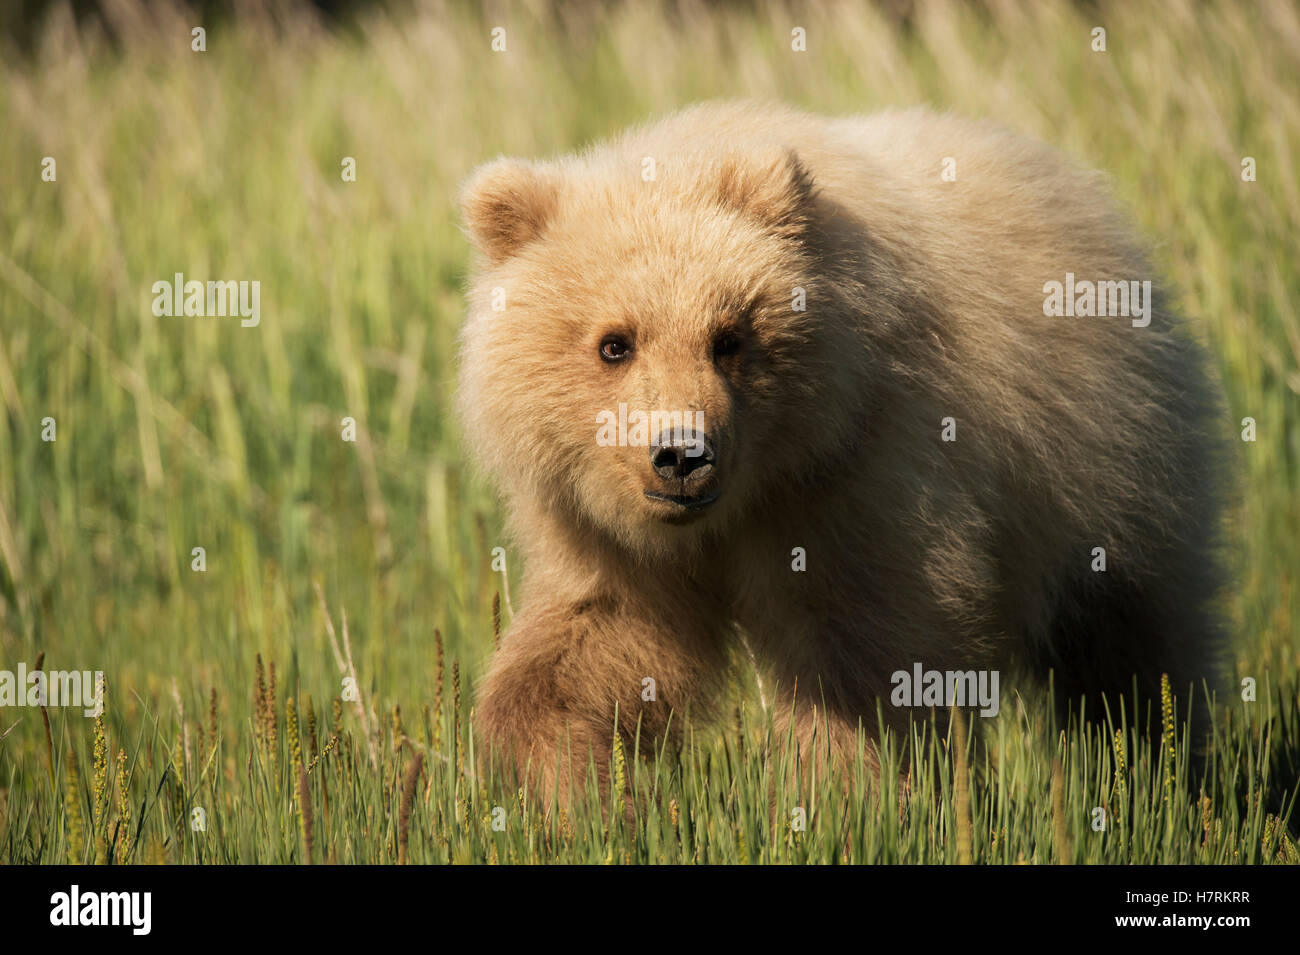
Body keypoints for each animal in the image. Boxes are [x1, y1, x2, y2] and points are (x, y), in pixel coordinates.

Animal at [456, 100, 1229, 800]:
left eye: (729, 338)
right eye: (614, 343)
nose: (681, 455)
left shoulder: (859, 470)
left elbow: (863, 652)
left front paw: (850, 795)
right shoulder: (610, 537)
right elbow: (589, 648)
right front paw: (573, 786)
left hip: (1117, 469)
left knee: (1131, 644)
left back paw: (1158, 773)